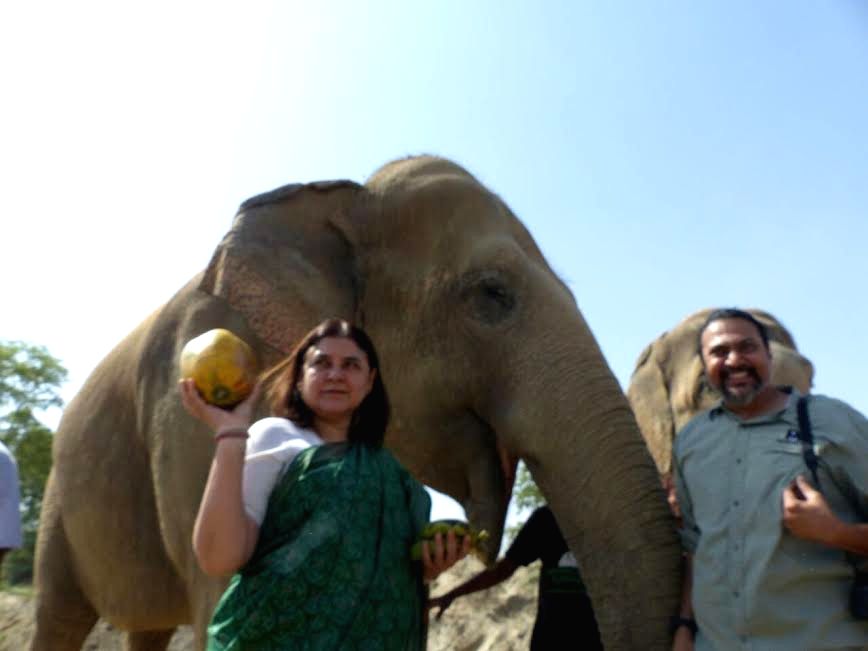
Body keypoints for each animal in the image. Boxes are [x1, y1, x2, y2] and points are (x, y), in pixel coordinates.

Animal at [31, 155, 681, 651]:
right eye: (492, 295)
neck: (343, 198)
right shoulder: (182, 422)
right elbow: (220, 571)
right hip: (60, 499)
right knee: (59, 617)